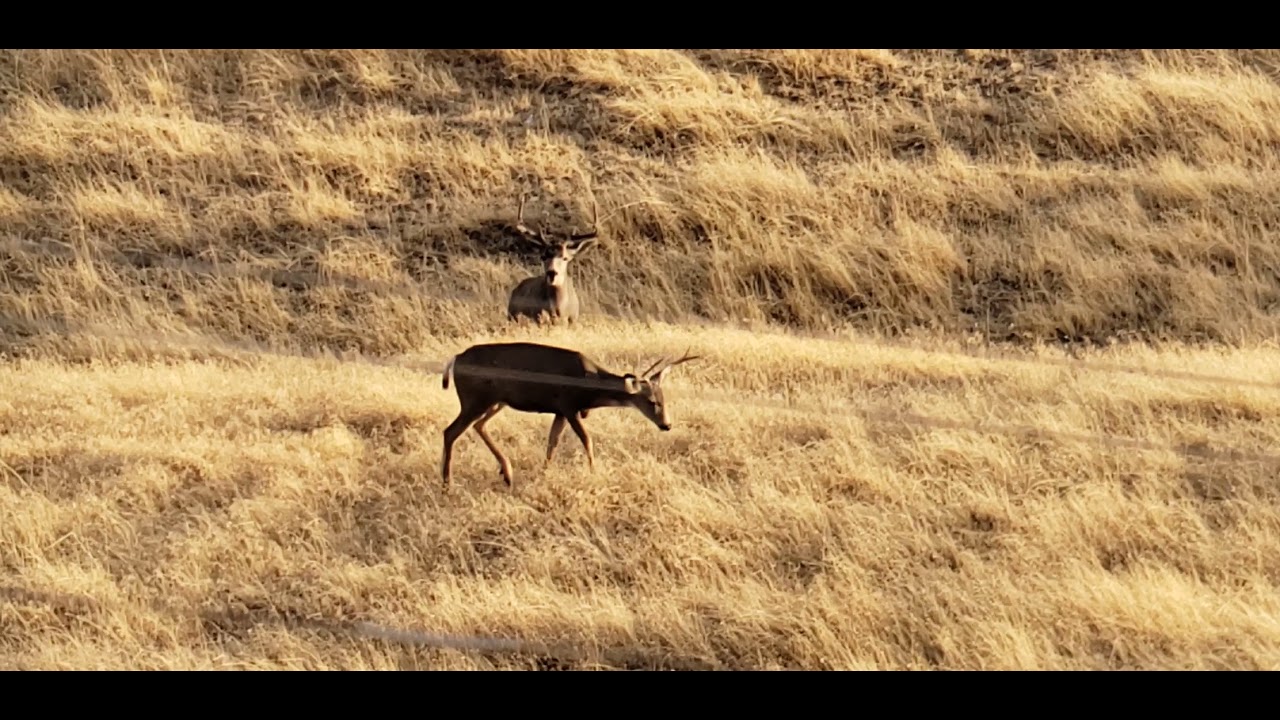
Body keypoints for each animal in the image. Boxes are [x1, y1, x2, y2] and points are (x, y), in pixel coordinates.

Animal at [439, 341, 701, 490]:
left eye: (664, 399)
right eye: (651, 401)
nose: (667, 425)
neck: (590, 386)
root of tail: (455, 359)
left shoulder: (560, 412)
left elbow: (552, 443)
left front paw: (545, 473)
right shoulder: (568, 405)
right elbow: (587, 440)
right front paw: (594, 473)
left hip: (495, 401)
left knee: (478, 426)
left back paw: (507, 474)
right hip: (476, 399)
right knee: (451, 431)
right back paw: (447, 482)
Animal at [506, 194, 600, 325]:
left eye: (565, 258)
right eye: (543, 256)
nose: (552, 273)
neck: (559, 310)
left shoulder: (573, 320)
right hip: (512, 316)